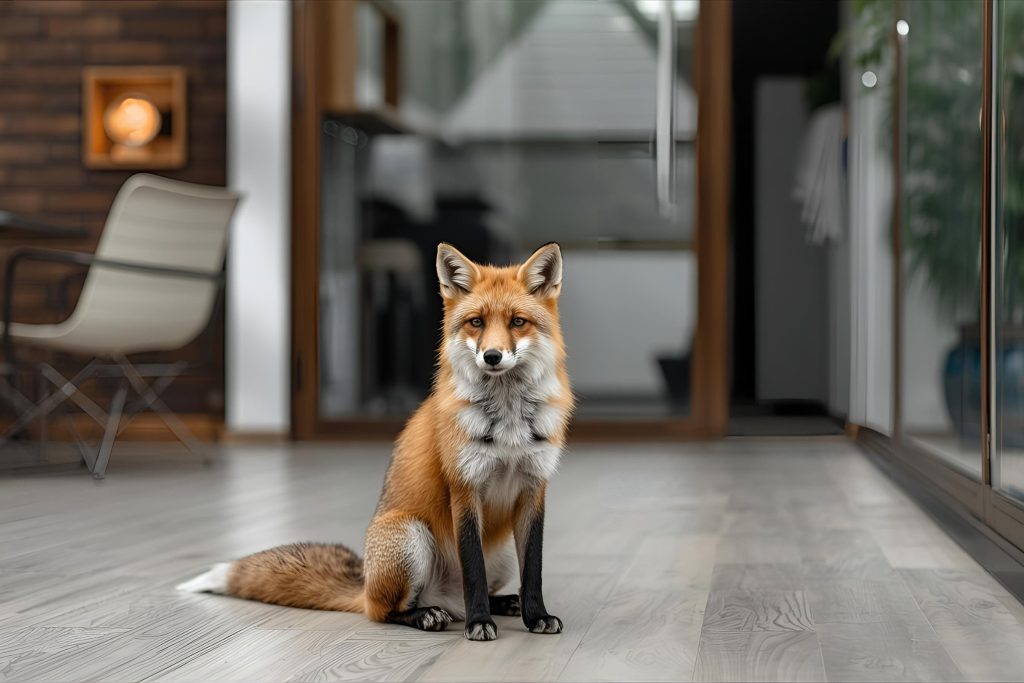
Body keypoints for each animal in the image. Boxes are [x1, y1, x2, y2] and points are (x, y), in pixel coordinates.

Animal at [178, 242, 574, 641]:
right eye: (476, 322)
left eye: (517, 322)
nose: (492, 356)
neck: (508, 425)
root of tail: (365, 583)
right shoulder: (464, 489)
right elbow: (473, 572)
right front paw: (480, 624)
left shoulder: (534, 487)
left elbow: (533, 571)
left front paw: (536, 616)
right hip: (410, 538)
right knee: (387, 611)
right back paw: (430, 615)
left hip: (501, 551)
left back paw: (502, 603)